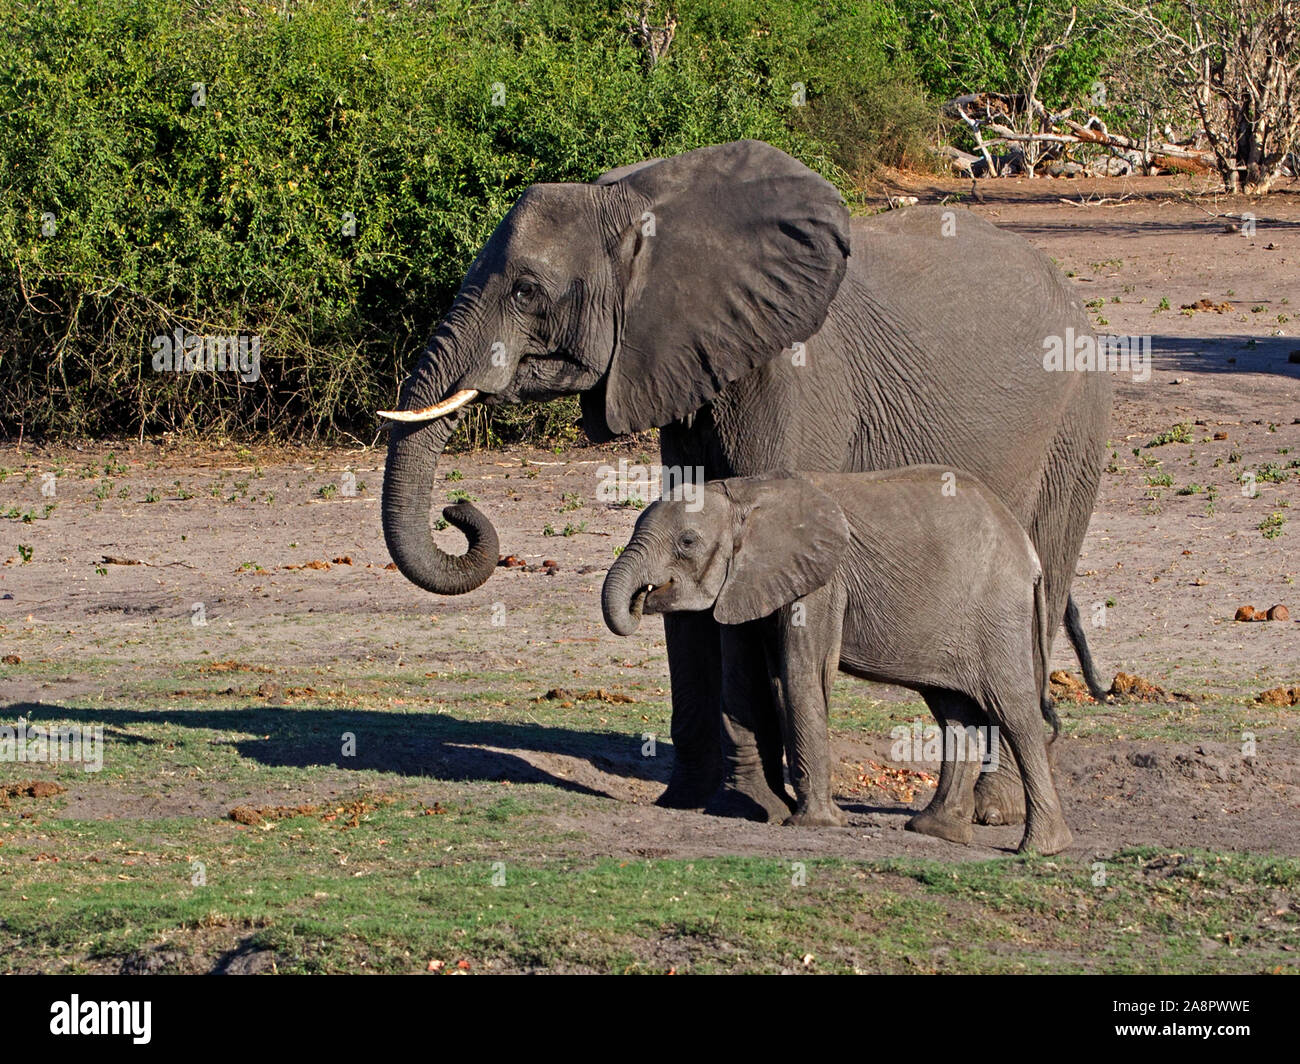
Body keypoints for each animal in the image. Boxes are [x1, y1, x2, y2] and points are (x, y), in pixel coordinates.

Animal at [600, 467, 1072, 855]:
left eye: (687, 542)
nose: (643, 597)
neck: (745, 494)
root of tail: (1029, 552)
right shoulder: (759, 578)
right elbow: (765, 680)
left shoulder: (823, 584)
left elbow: (800, 674)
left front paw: (813, 825)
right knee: (955, 712)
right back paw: (935, 831)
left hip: (997, 611)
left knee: (1013, 709)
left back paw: (1041, 848)